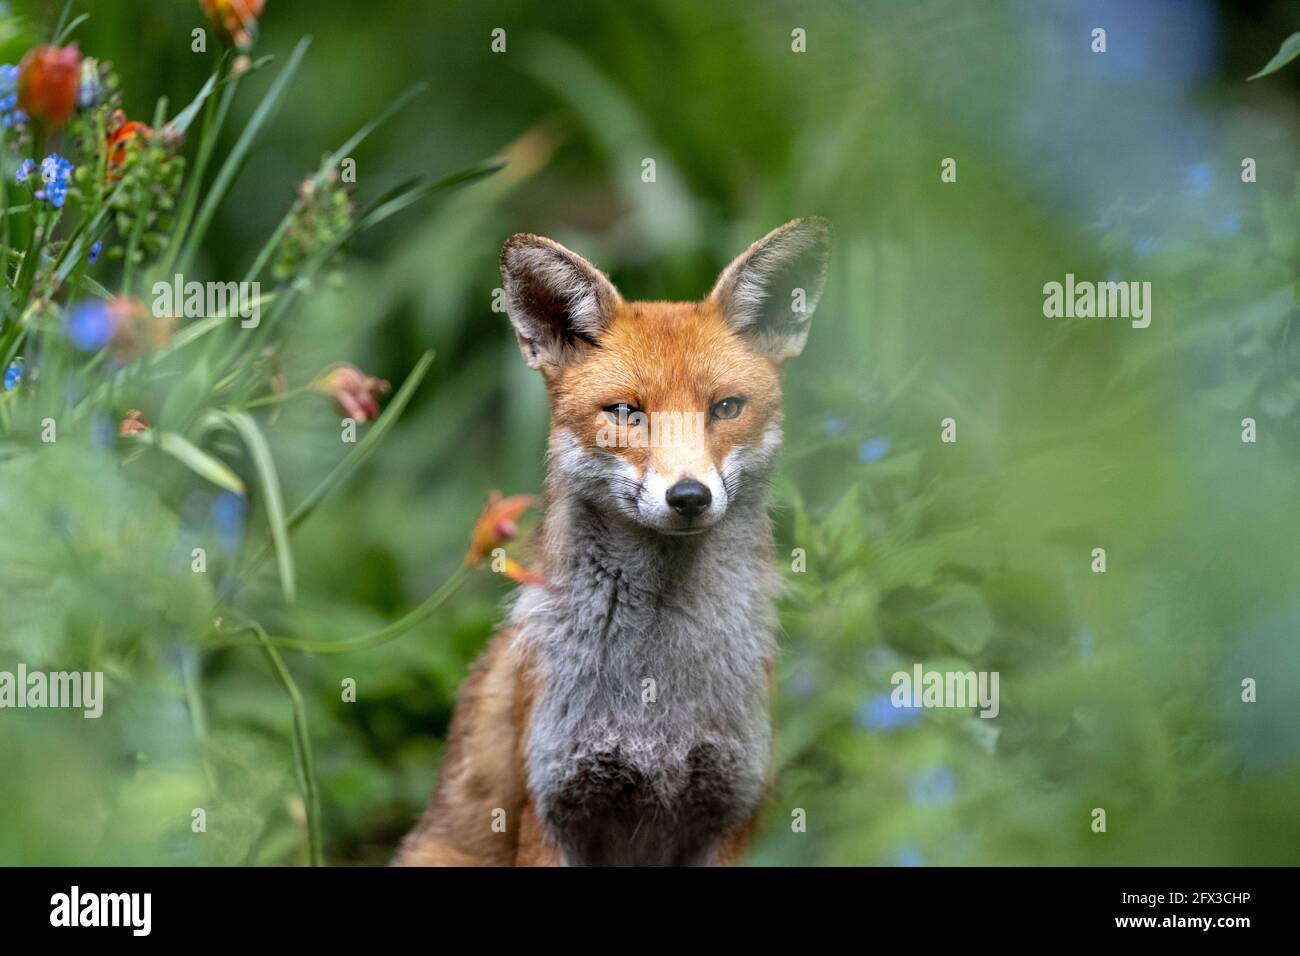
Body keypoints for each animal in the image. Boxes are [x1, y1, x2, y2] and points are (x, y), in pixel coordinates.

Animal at [394, 217, 832, 866]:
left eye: (725, 408)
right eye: (626, 413)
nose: (688, 496)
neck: (654, 698)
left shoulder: (733, 809)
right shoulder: (553, 808)